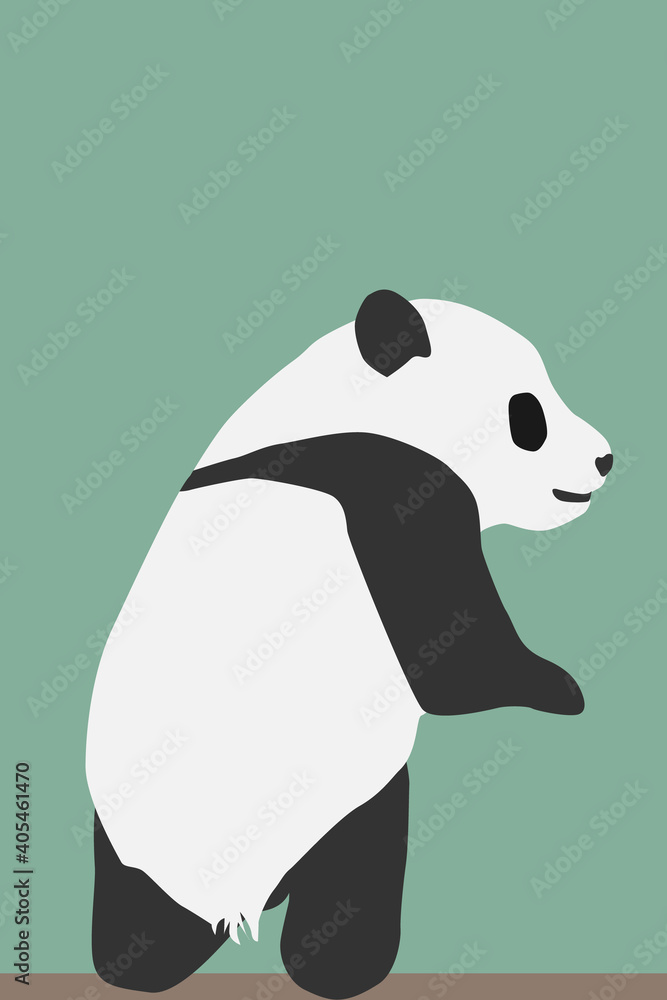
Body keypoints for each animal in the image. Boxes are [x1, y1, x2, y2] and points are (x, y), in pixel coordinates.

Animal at [86, 291, 612, 998]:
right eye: (528, 414)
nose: (605, 459)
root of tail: (241, 901)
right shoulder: (396, 489)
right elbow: (451, 664)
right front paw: (556, 685)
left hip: (353, 800)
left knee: (343, 879)